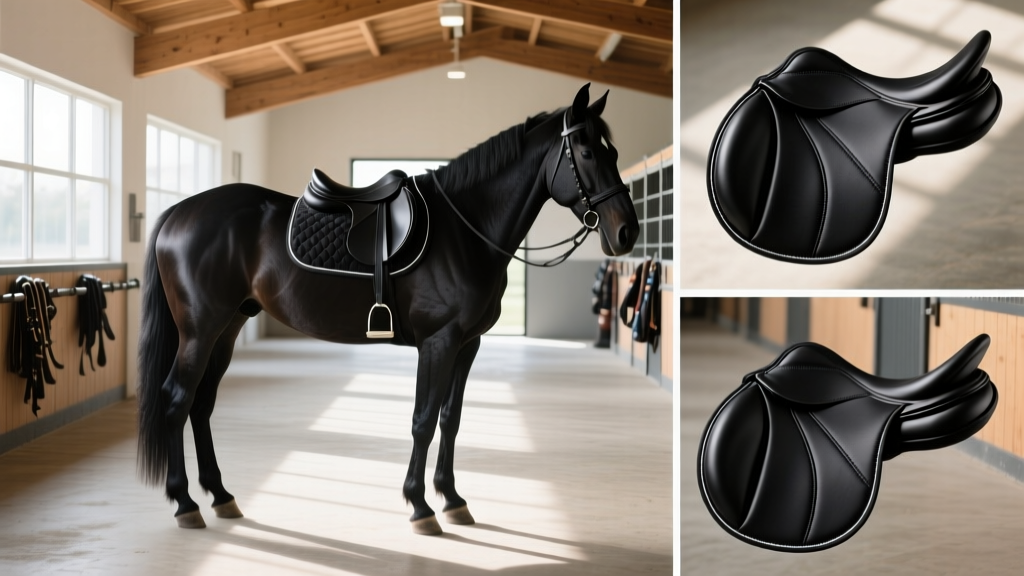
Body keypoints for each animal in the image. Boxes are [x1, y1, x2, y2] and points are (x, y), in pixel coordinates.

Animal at [136, 84, 639, 535]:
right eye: (588, 152)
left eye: (613, 151)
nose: (628, 233)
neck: (466, 230)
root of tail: (179, 212)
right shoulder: (438, 342)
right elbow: (423, 421)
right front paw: (420, 507)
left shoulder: (468, 344)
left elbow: (450, 420)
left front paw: (452, 499)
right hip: (200, 331)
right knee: (178, 400)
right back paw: (185, 503)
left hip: (227, 328)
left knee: (202, 405)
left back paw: (221, 496)